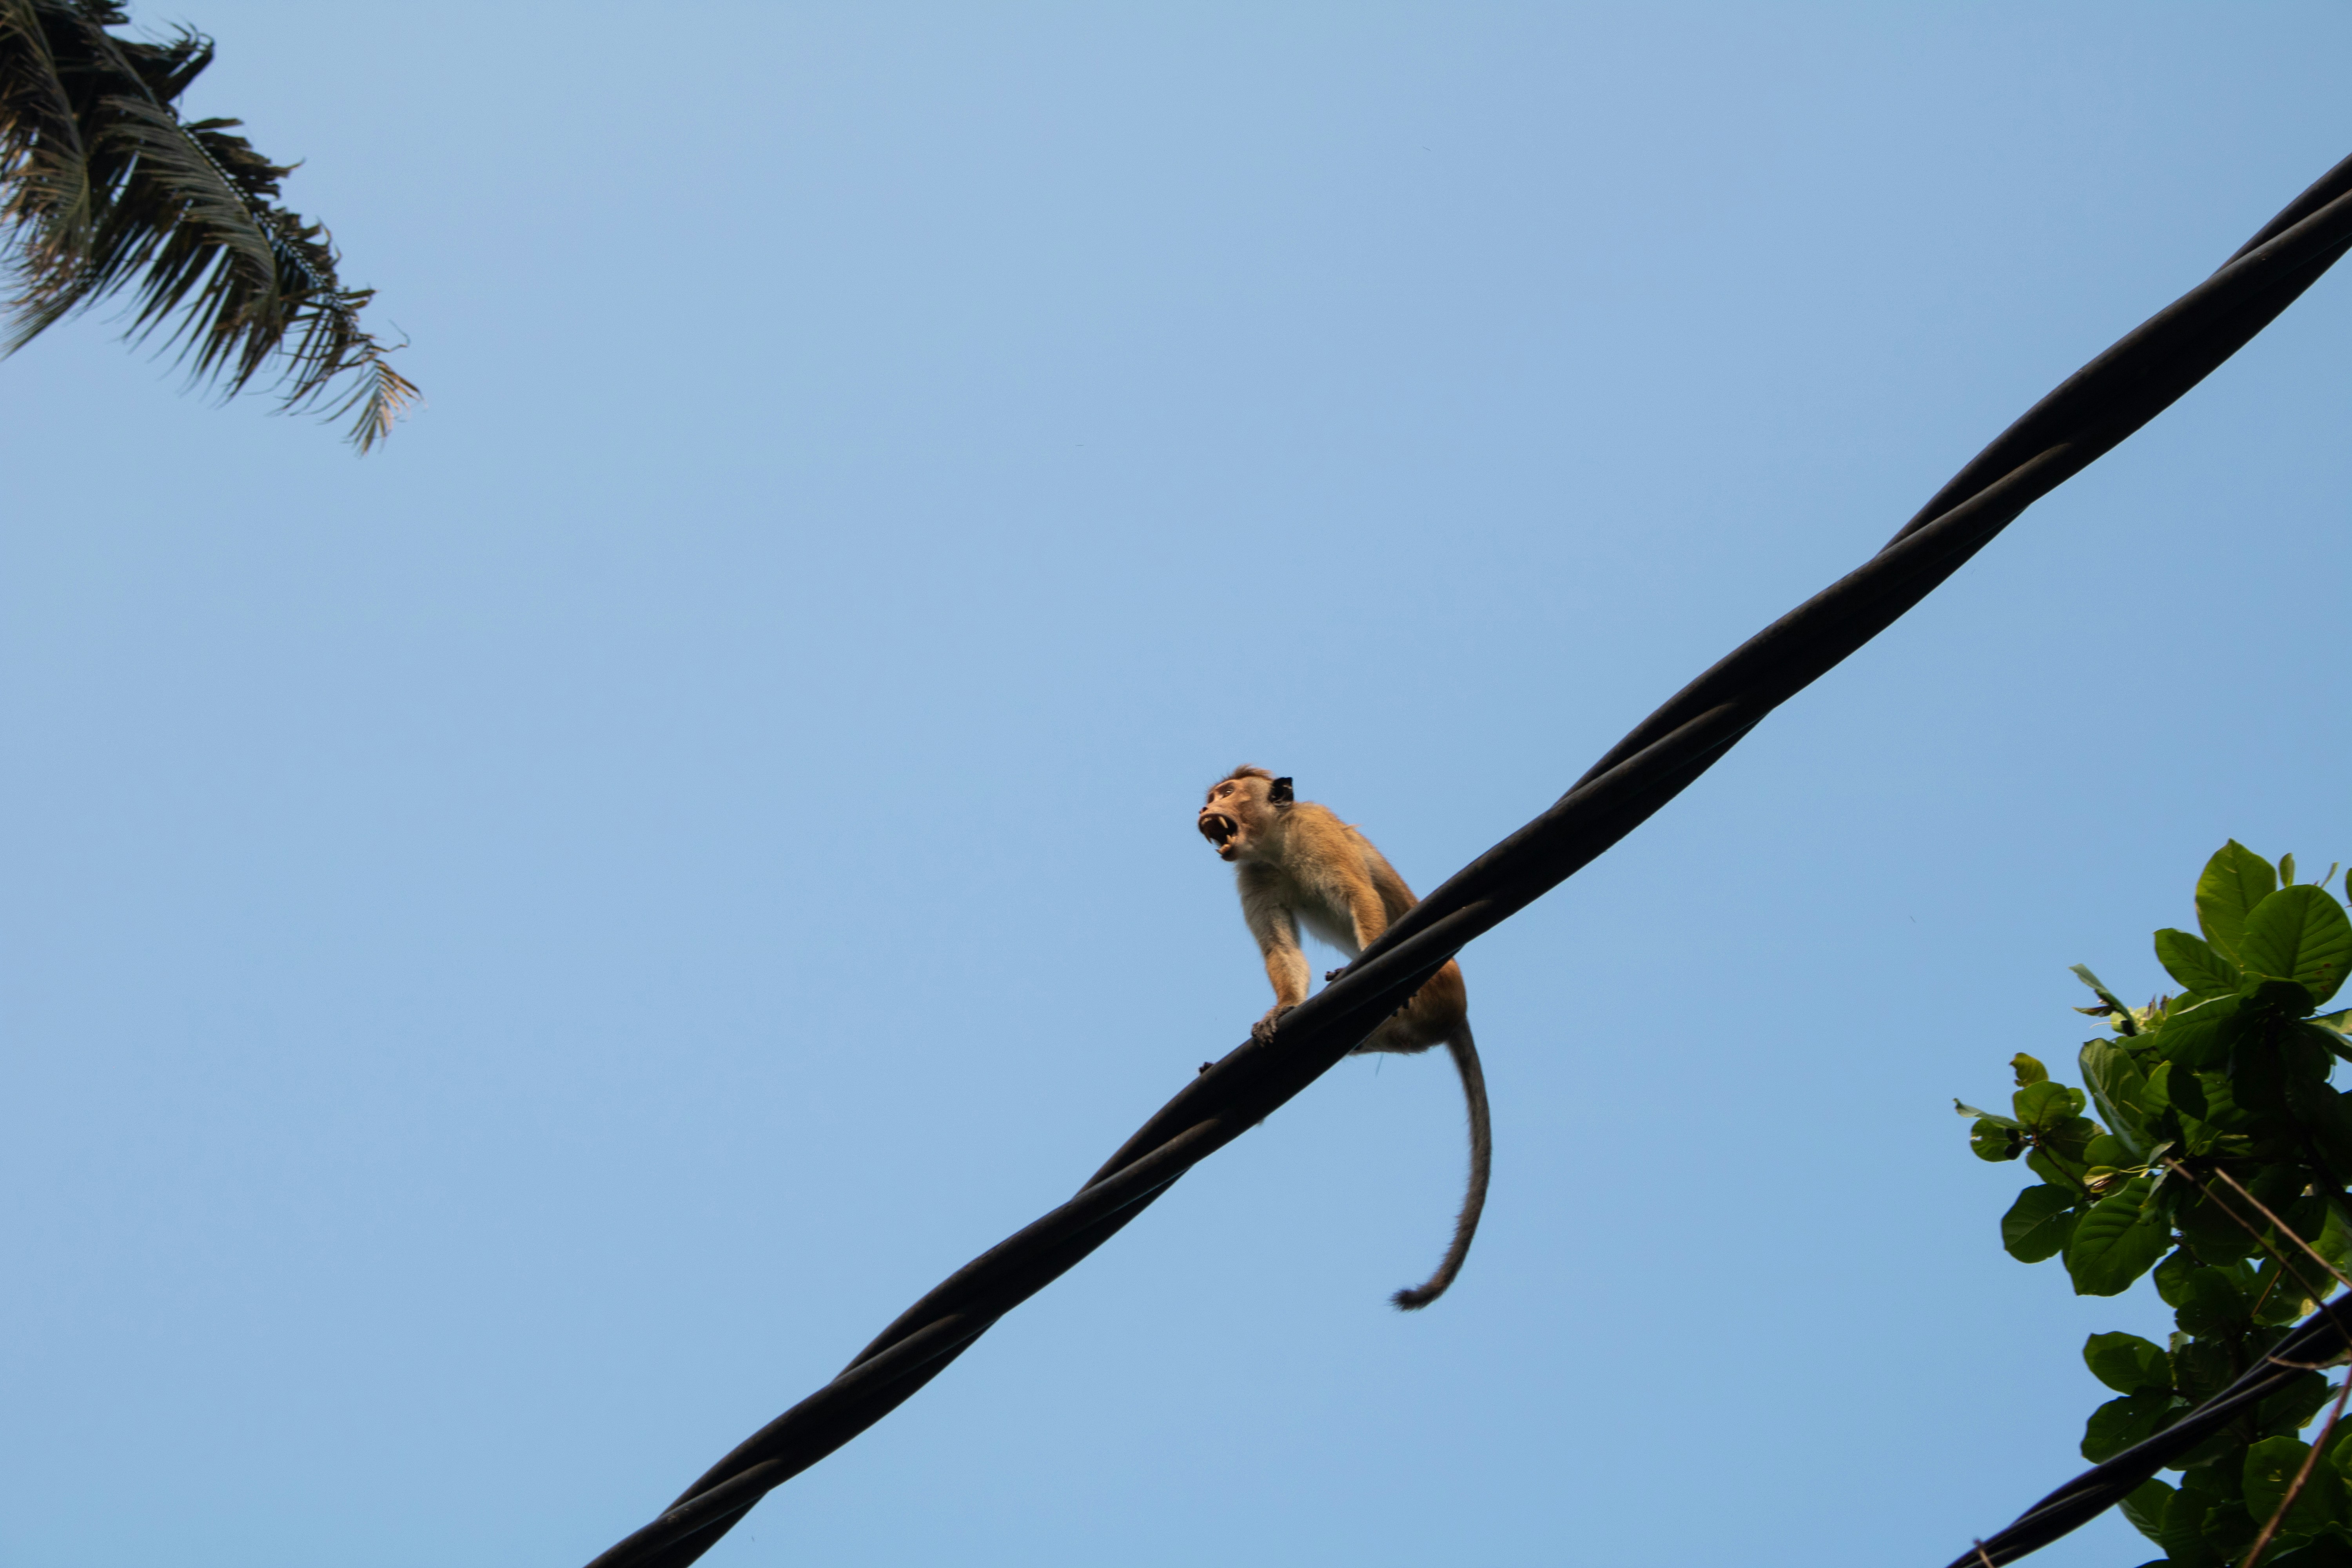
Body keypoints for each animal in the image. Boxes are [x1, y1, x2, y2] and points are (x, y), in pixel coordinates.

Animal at [1195, 765, 1491, 1311]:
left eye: (1225, 793)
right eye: (1210, 797)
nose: (1205, 809)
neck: (1275, 844)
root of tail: (1458, 1010)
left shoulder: (1318, 835)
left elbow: (1359, 895)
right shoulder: (1254, 875)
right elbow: (1283, 951)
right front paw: (1284, 1008)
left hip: (1434, 988)